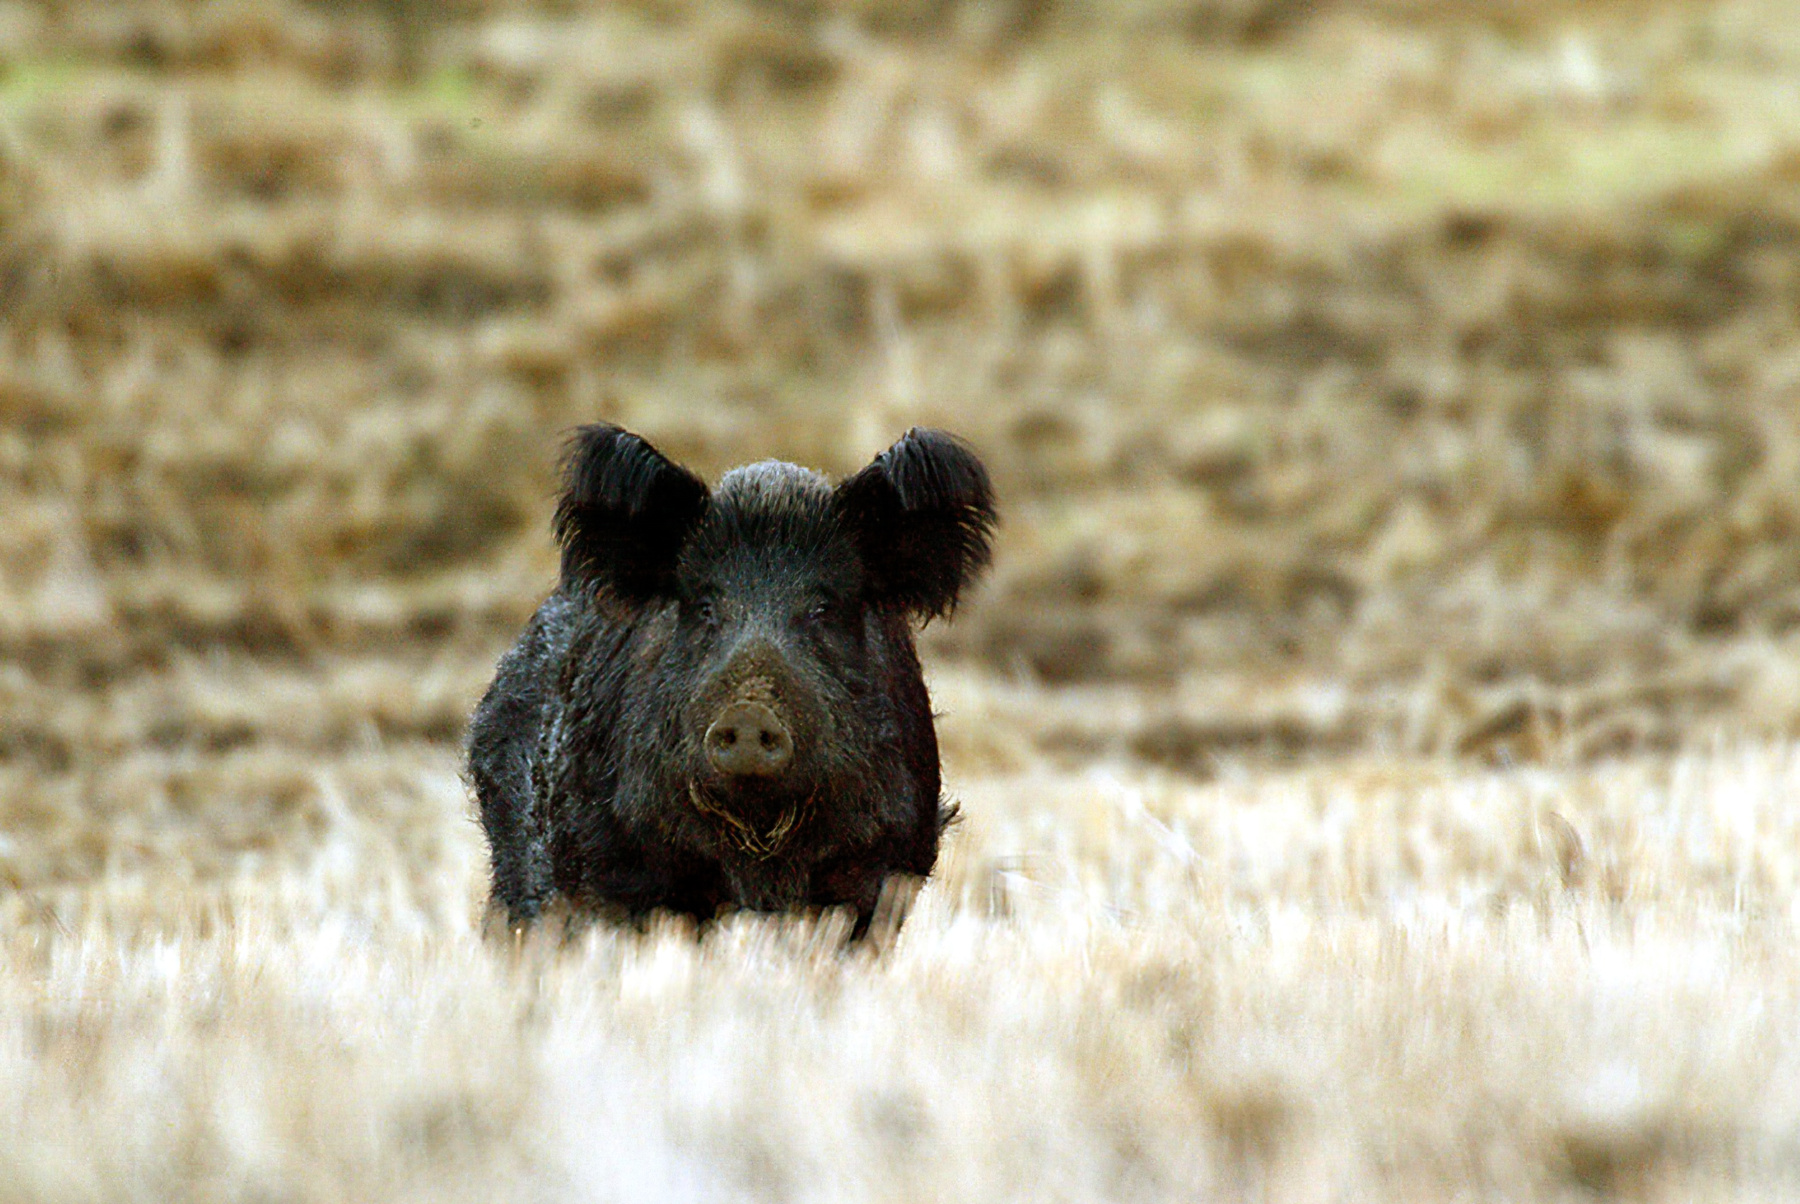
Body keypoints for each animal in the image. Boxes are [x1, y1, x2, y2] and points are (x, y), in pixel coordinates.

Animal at [466, 423, 996, 931]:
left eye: (823, 607)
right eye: (704, 606)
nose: (748, 710)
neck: (759, 844)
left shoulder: (880, 867)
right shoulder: (613, 867)